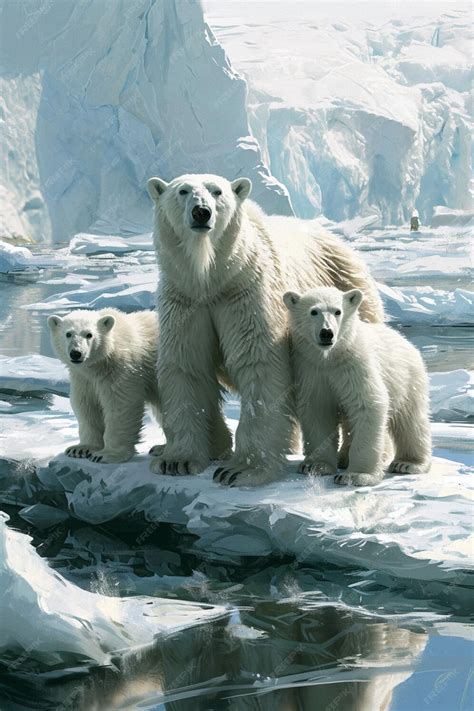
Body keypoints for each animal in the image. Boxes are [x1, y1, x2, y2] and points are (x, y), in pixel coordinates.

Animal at [48, 308, 160, 464]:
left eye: (89, 334)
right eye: (68, 333)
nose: (76, 353)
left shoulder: (122, 371)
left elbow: (120, 405)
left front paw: (106, 454)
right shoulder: (84, 379)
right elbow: (87, 405)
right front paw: (81, 449)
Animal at [147, 173, 384, 487]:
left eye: (217, 191)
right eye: (183, 191)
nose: (201, 212)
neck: (211, 278)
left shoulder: (245, 290)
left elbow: (258, 364)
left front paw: (240, 469)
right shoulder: (185, 301)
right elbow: (187, 365)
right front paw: (178, 461)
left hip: (347, 288)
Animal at [283, 286, 432, 486]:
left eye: (337, 311)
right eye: (314, 311)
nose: (326, 333)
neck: (331, 357)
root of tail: (406, 341)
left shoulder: (355, 365)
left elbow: (367, 404)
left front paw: (355, 475)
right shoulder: (311, 370)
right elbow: (317, 410)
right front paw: (315, 466)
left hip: (407, 379)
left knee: (410, 420)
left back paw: (407, 463)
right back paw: (343, 458)